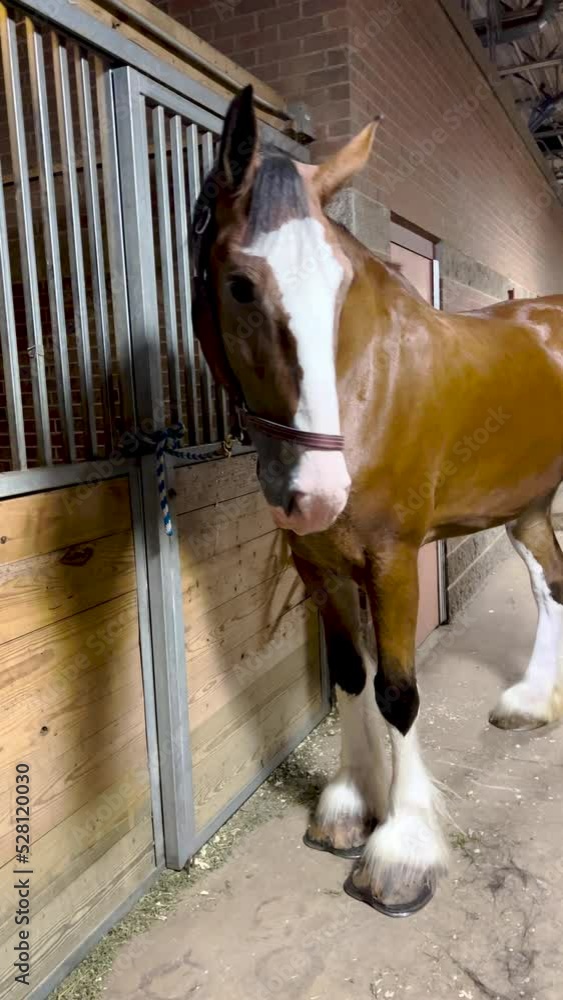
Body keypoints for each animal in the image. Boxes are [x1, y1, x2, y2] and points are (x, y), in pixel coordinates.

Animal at [192, 84, 563, 917]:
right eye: (239, 284)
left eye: (341, 290)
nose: (316, 492)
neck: (364, 388)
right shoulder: (318, 563)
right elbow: (349, 676)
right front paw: (347, 804)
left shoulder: (391, 562)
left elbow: (396, 693)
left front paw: (402, 847)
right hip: (527, 504)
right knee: (551, 586)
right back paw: (530, 700)